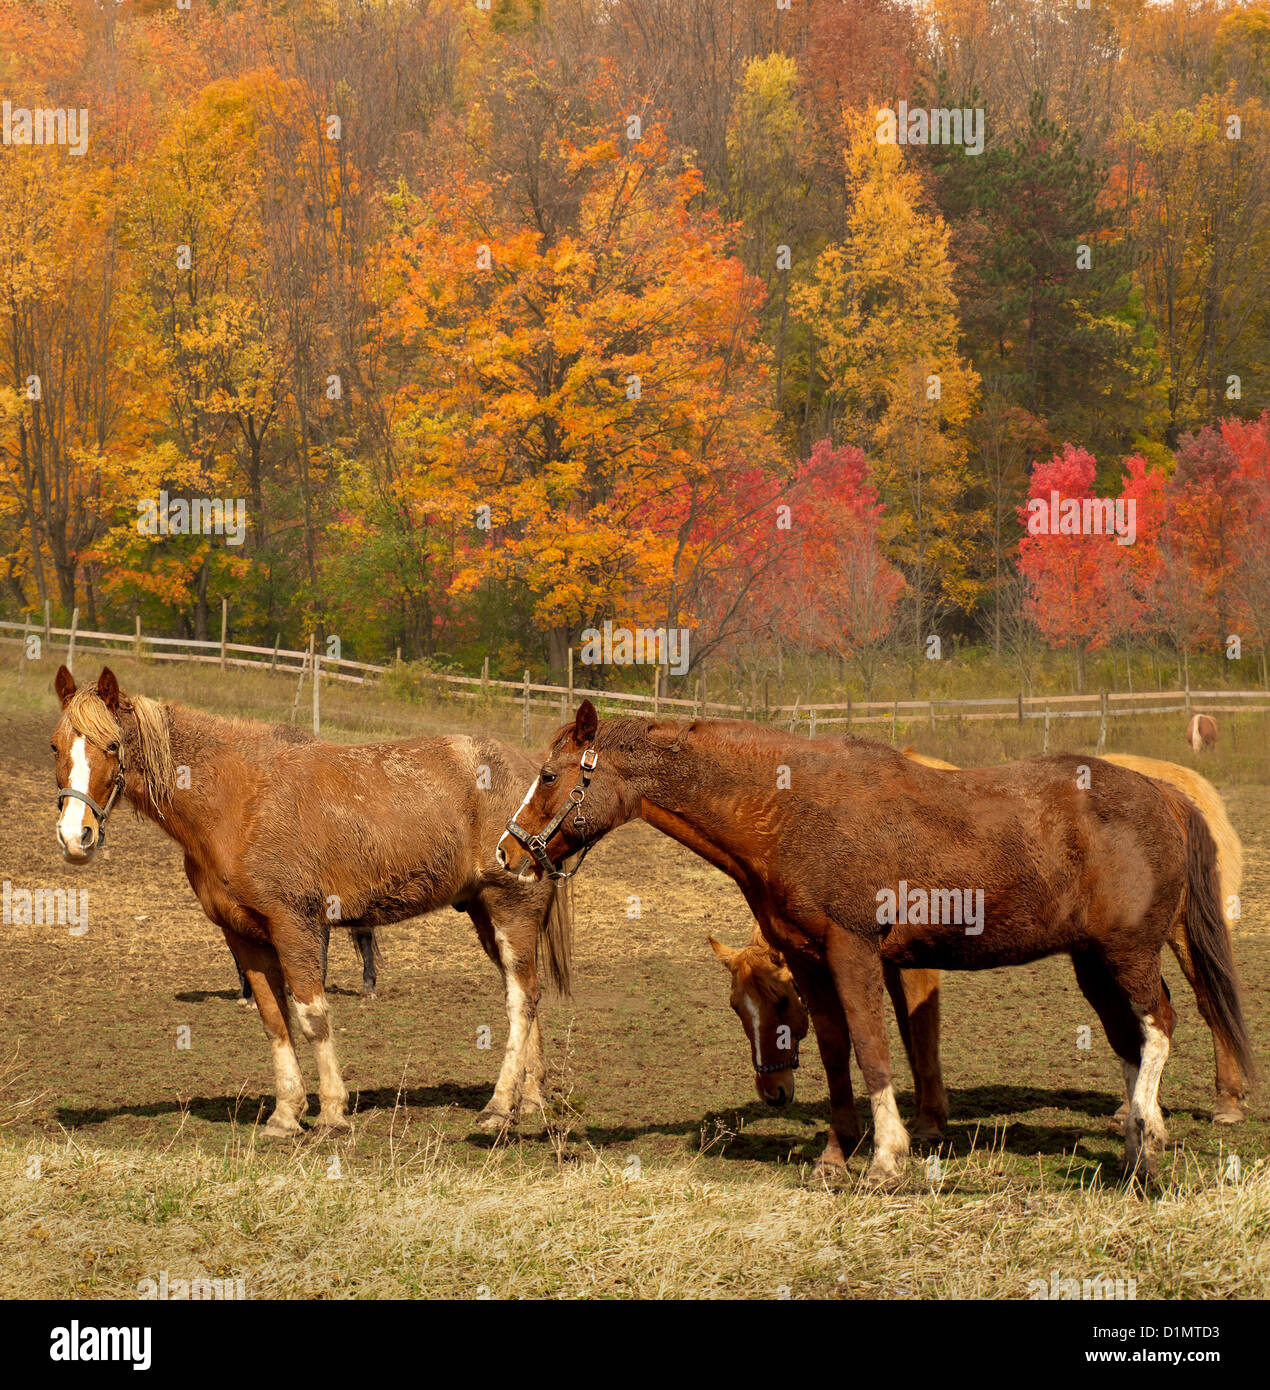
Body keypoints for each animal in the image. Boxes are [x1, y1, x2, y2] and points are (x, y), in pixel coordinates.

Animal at [50, 665, 572, 1136]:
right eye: (55, 746)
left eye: (112, 746)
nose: (76, 836)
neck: (240, 799)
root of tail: (533, 778)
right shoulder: (245, 938)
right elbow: (274, 1020)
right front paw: (286, 1115)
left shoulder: (295, 927)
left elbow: (311, 1015)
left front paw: (332, 1113)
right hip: (487, 916)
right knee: (524, 995)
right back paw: (529, 1100)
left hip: (511, 911)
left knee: (520, 1000)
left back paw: (499, 1108)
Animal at [715, 747, 1248, 1131]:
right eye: (738, 1008)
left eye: (782, 1001)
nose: (773, 1093)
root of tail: (1175, 790)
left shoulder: (914, 965)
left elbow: (919, 1035)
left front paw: (929, 1121)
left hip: (1174, 938)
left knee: (1206, 1004)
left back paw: (1225, 1102)